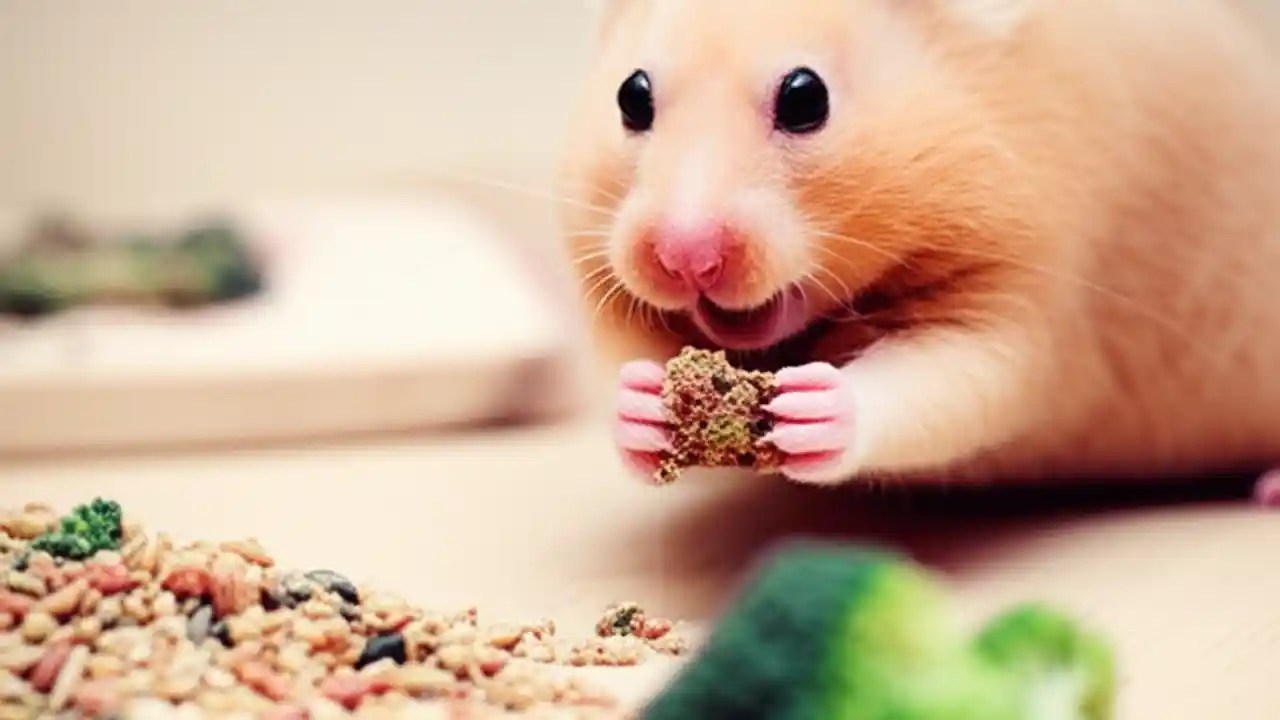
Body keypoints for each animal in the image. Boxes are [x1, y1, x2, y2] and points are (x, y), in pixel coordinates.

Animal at [557, 0, 1280, 492]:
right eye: (631, 95)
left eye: (805, 97)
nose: (685, 258)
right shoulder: (605, 277)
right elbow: (622, 354)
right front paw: (640, 403)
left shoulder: (1018, 301)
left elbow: (949, 376)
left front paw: (810, 407)